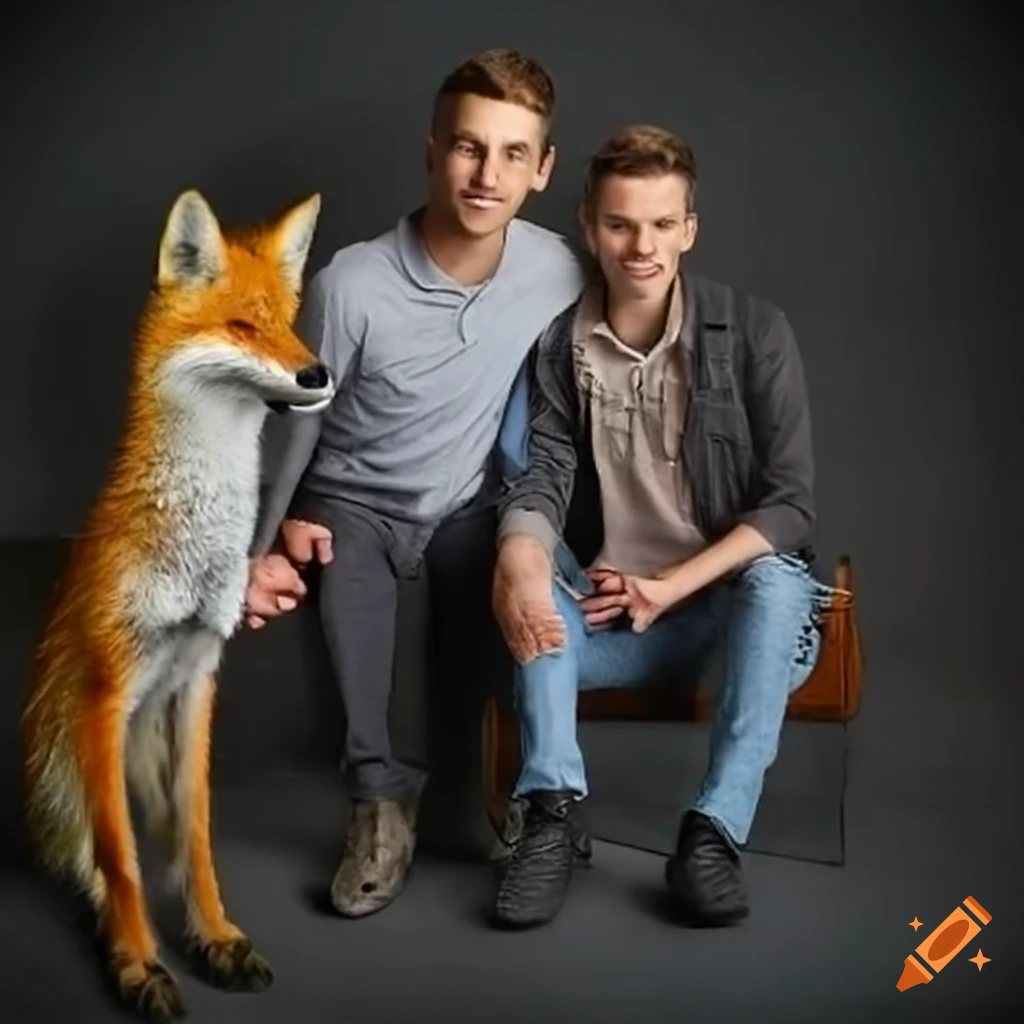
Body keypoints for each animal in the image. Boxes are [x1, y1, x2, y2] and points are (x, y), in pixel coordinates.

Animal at [19, 188, 335, 1020]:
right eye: (242, 326)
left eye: (292, 321)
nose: (318, 372)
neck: (191, 560)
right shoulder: (105, 690)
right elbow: (120, 855)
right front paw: (137, 961)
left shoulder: (196, 676)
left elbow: (193, 841)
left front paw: (215, 935)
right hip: (61, 757)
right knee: (80, 848)